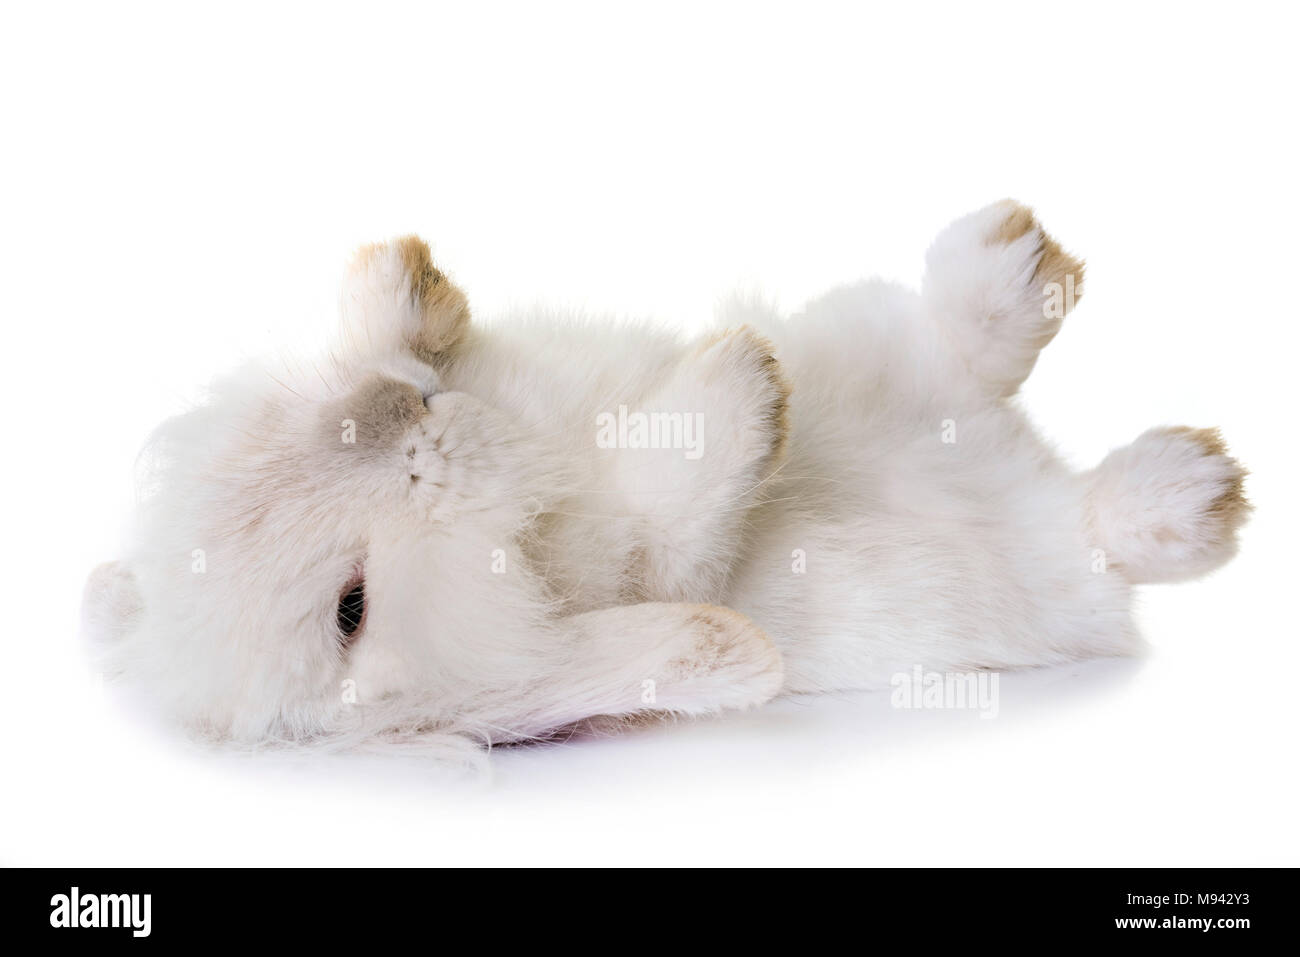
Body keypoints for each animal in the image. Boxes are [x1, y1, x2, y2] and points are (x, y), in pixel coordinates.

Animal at [81, 200, 1249, 756]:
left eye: (281, 427)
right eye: (349, 610)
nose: (385, 412)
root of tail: (1025, 470)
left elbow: (433, 337)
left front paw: (401, 282)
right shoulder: (663, 570)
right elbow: (676, 506)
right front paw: (745, 381)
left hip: (877, 344)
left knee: (963, 346)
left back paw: (1016, 262)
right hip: (1051, 565)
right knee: (1100, 524)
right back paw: (1198, 489)